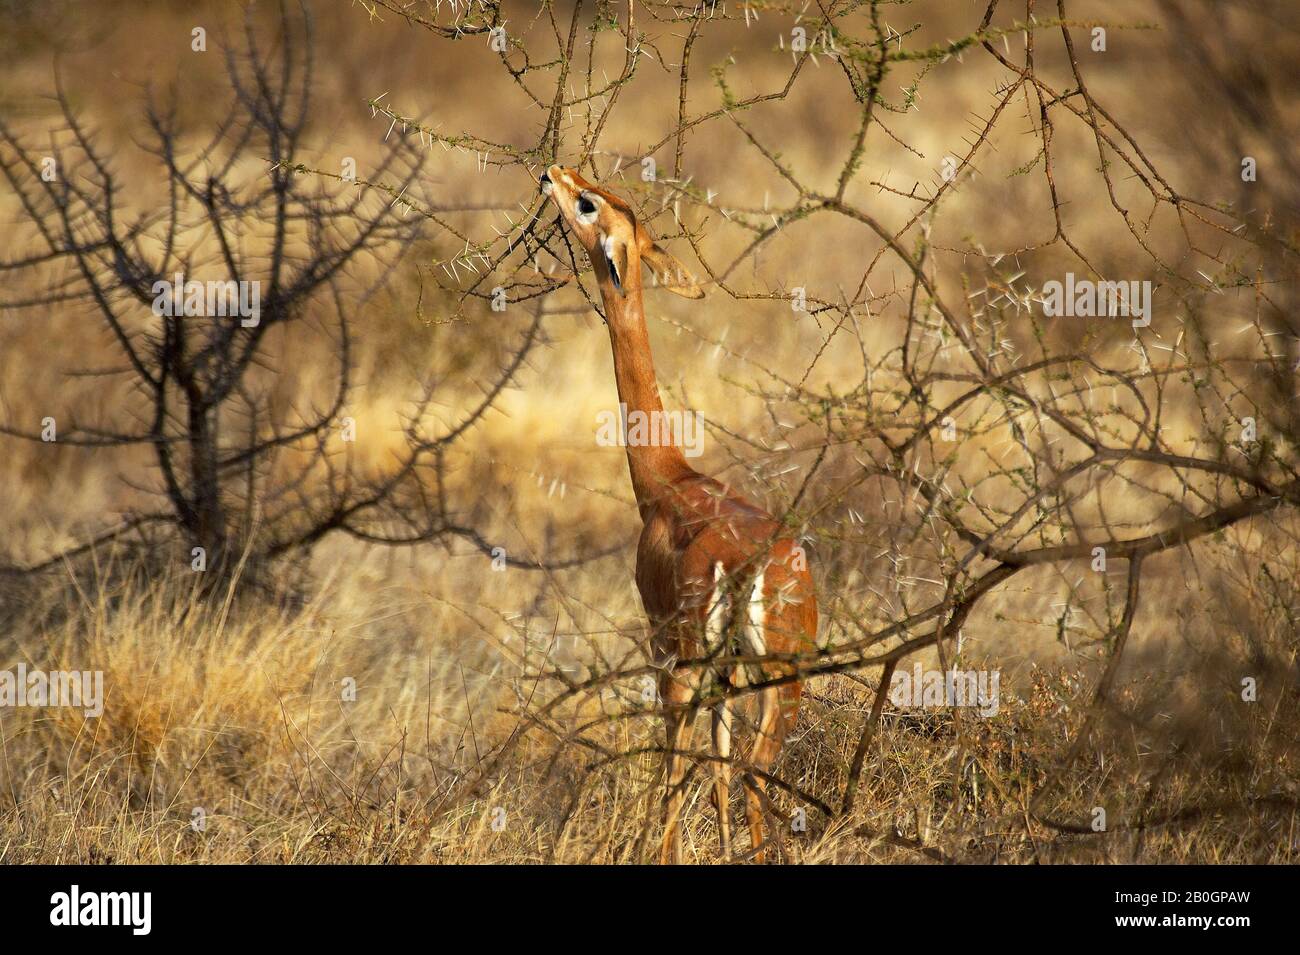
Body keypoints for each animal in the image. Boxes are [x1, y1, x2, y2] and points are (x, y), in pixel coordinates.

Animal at [540, 165, 818, 863]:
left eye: (589, 205)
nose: (555, 172)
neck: (668, 480)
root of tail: (754, 569)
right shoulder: (725, 671)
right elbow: (715, 770)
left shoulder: (662, 642)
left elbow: (679, 773)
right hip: (778, 676)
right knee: (744, 770)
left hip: (689, 665)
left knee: (706, 771)